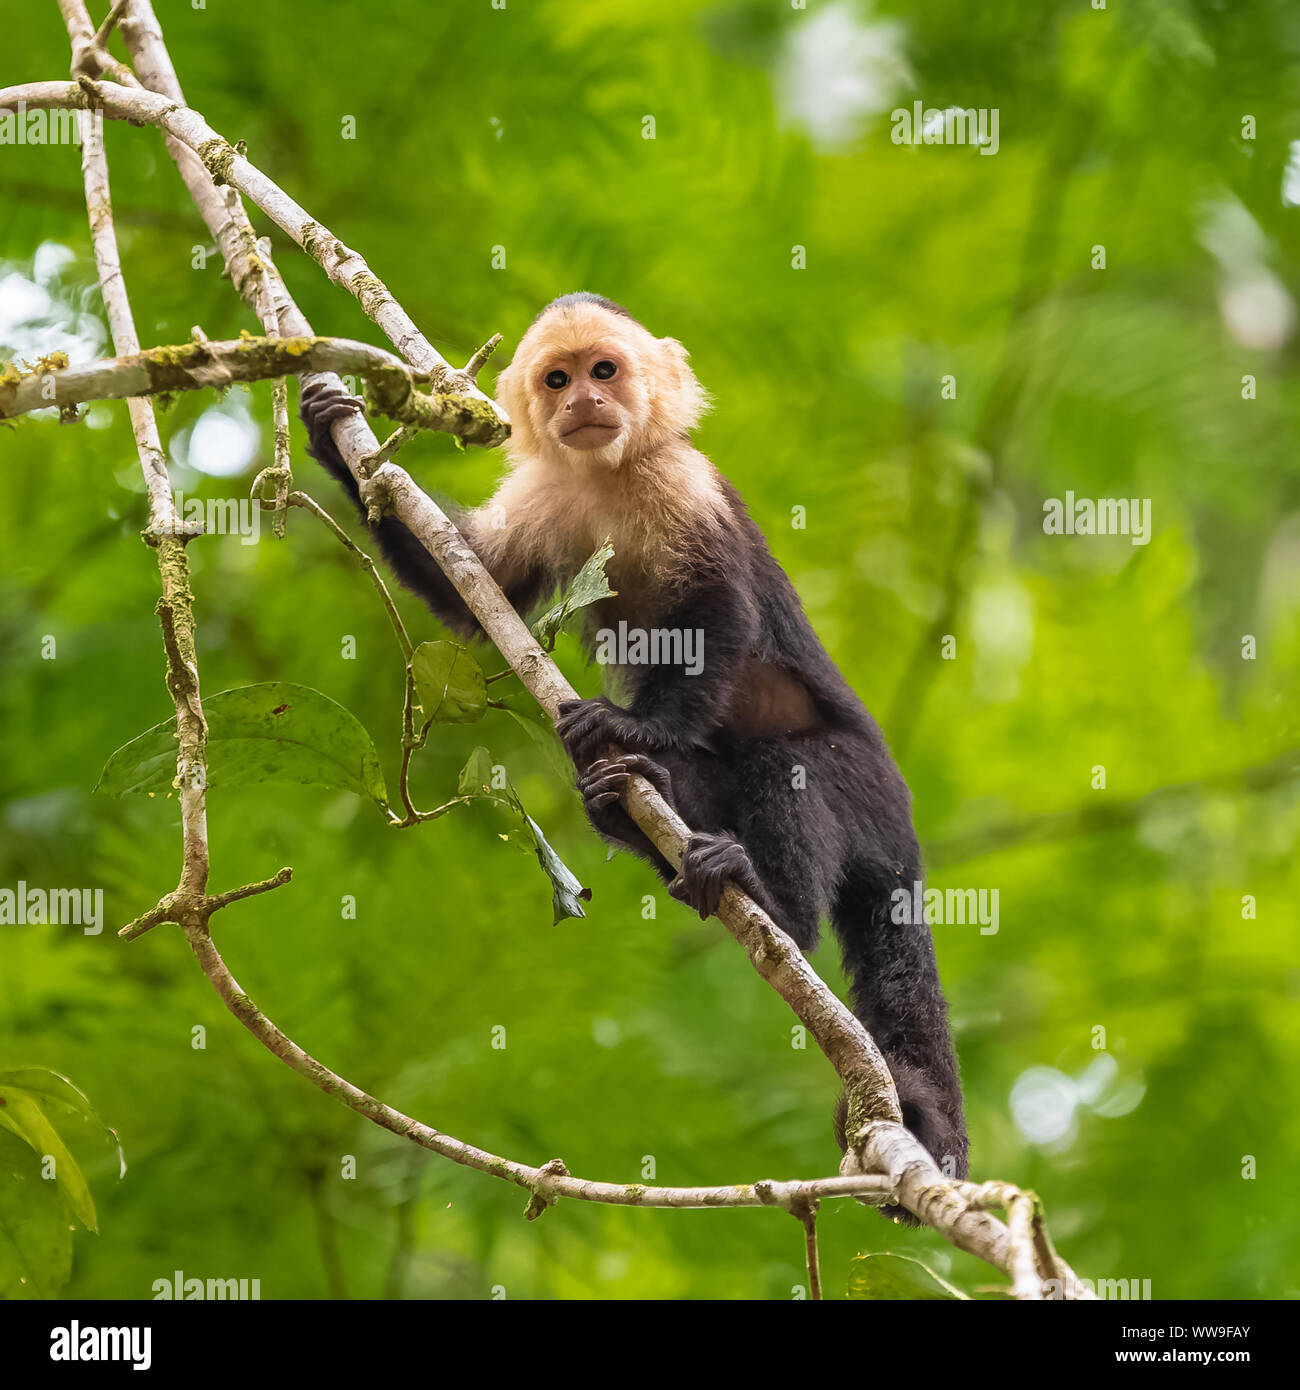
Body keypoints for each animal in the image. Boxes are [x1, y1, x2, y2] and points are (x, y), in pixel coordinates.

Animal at [300, 292, 969, 1192]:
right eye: (558, 379)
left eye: (605, 370)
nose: (584, 400)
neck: (606, 479)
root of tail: (904, 828)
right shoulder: (544, 494)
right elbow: (476, 590)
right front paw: (333, 433)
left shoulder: (684, 486)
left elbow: (715, 616)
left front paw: (633, 722)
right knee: (675, 785)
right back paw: (628, 808)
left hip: (866, 783)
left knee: (790, 769)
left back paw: (774, 904)